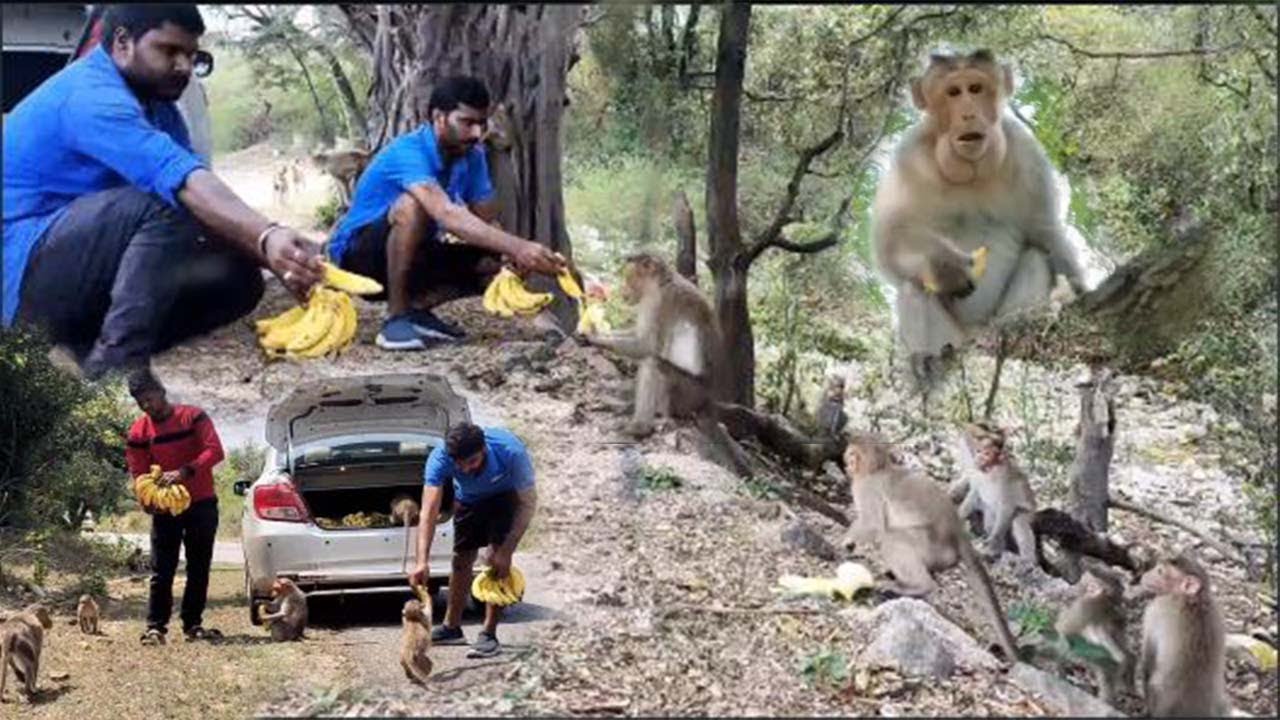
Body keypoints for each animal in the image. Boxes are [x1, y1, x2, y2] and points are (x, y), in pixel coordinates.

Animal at [582, 252, 751, 476]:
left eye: (629, 278)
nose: (623, 292)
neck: (661, 283)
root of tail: (708, 401)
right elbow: (638, 337)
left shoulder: (659, 303)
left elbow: (646, 345)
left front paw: (594, 337)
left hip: (689, 394)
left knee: (652, 365)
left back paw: (641, 427)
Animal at [840, 432, 1021, 662]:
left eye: (850, 455)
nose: (846, 464)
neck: (878, 467)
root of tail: (959, 534)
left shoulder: (867, 488)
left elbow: (872, 523)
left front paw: (846, 541)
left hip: (934, 547)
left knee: (892, 539)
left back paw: (919, 586)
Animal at [871, 49, 1088, 385]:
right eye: (953, 92)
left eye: (975, 89)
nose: (969, 114)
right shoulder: (909, 154)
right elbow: (891, 236)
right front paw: (946, 266)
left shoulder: (1025, 151)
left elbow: (1045, 233)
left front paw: (1076, 294)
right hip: (954, 335)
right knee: (914, 285)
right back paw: (929, 360)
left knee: (1036, 257)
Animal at [954, 421, 1038, 564]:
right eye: (980, 438)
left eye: (997, 444)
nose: (988, 453)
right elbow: (972, 495)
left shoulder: (1006, 487)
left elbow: (1006, 509)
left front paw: (993, 547)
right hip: (990, 510)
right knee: (989, 521)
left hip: (1027, 512)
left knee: (1019, 524)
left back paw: (1027, 560)